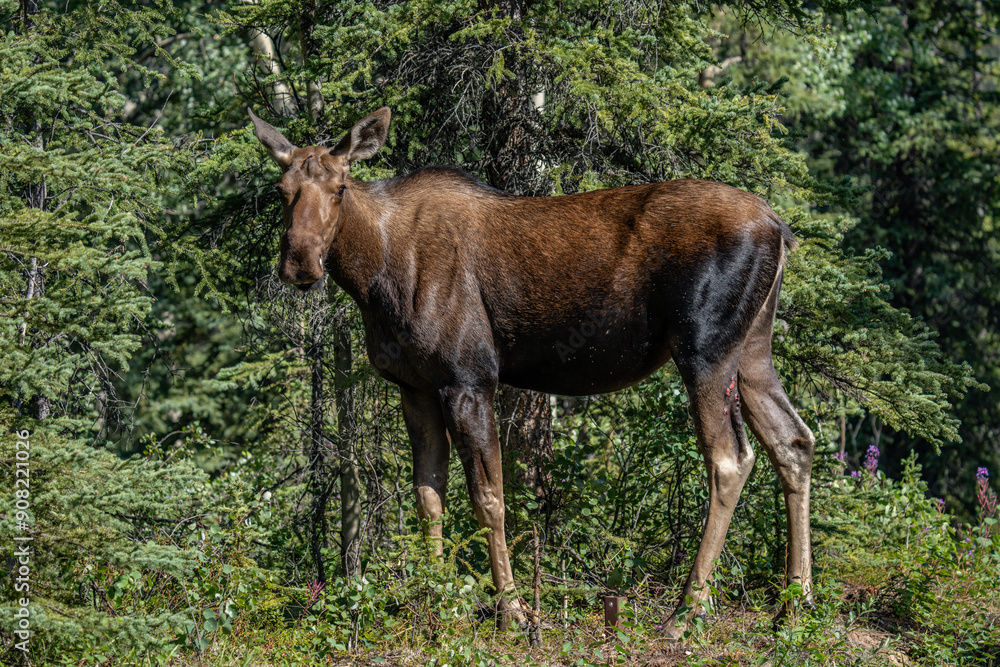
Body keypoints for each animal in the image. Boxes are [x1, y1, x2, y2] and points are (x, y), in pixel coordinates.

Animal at [248, 106, 816, 636]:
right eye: (280, 190)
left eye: (340, 187)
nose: (299, 263)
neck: (374, 279)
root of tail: (779, 229)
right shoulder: (416, 386)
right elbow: (429, 496)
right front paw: (435, 606)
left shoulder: (469, 378)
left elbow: (490, 500)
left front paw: (513, 612)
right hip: (752, 349)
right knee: (794, 440)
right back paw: (796, 604)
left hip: (704, 348)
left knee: (731, 459)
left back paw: (686, 611)